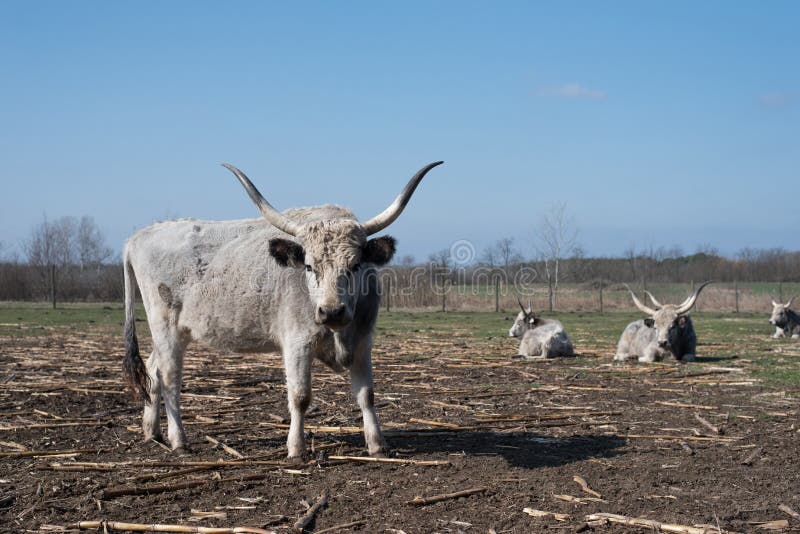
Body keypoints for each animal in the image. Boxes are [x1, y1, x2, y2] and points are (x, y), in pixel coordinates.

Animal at [123, 161, 443, 461]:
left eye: (355, 266)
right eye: (309, 266)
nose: (331, 312)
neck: (339, 333)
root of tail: (139, 237)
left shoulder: (364, 341)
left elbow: (367, 395)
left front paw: (377, 444)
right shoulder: (297, 342)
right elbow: (300, 397)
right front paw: (296, 448)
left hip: (175, 332)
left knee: (153, 371)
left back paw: (152, 433)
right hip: (165, 327)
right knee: (169, 379)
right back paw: (178, 440)